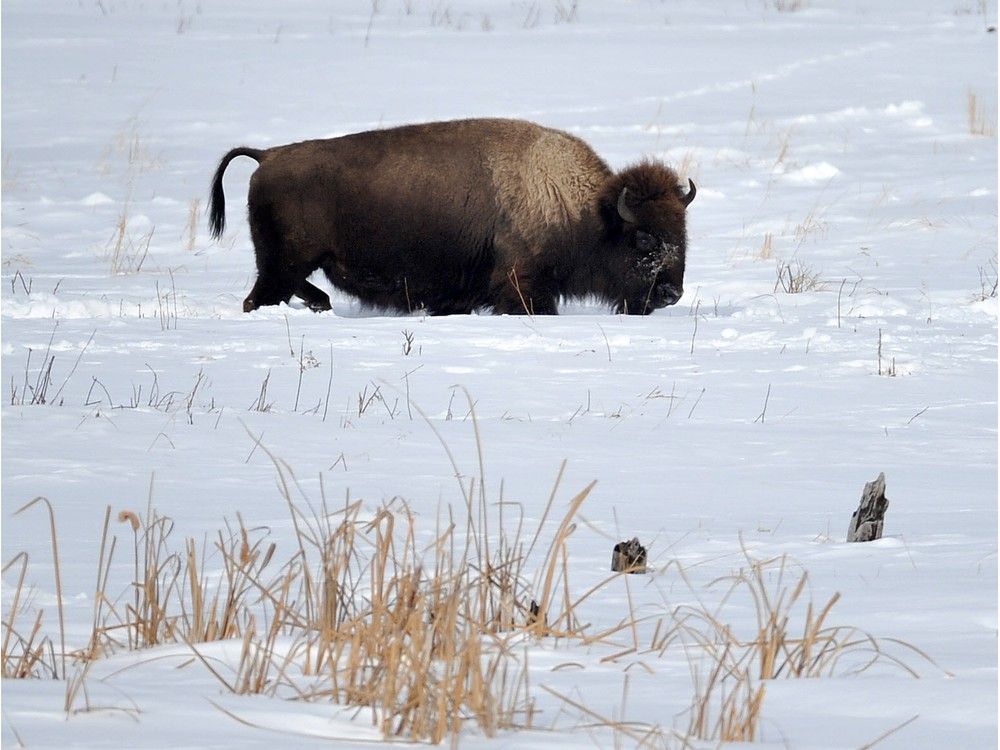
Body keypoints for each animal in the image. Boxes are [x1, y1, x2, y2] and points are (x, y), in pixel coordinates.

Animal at [208, 118, 695, 315]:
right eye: (644, 239)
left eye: (683, 233)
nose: (671, 293)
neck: (585, 211)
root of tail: (268, 156)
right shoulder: (522, 284)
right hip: (284, 262)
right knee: (262, 296)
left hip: (293, 264)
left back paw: (322, 305)